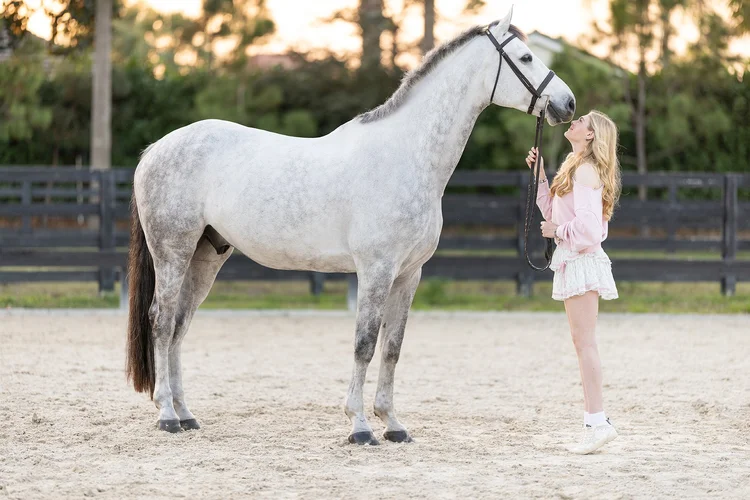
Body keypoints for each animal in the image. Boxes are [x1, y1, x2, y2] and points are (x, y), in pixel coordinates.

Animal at [126, 8, 575, 444]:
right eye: (526, 57)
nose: (567, 104)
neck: (406, 155)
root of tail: (156, 149)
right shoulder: (376, 270)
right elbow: (365, 343)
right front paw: (359, 425)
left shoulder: (409, 274)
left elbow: (392, 347)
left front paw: (392, 424)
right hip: (173, 251)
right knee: (162, 321)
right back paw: (167, 416)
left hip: (206, 256)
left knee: (180, 325)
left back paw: (186, 414)